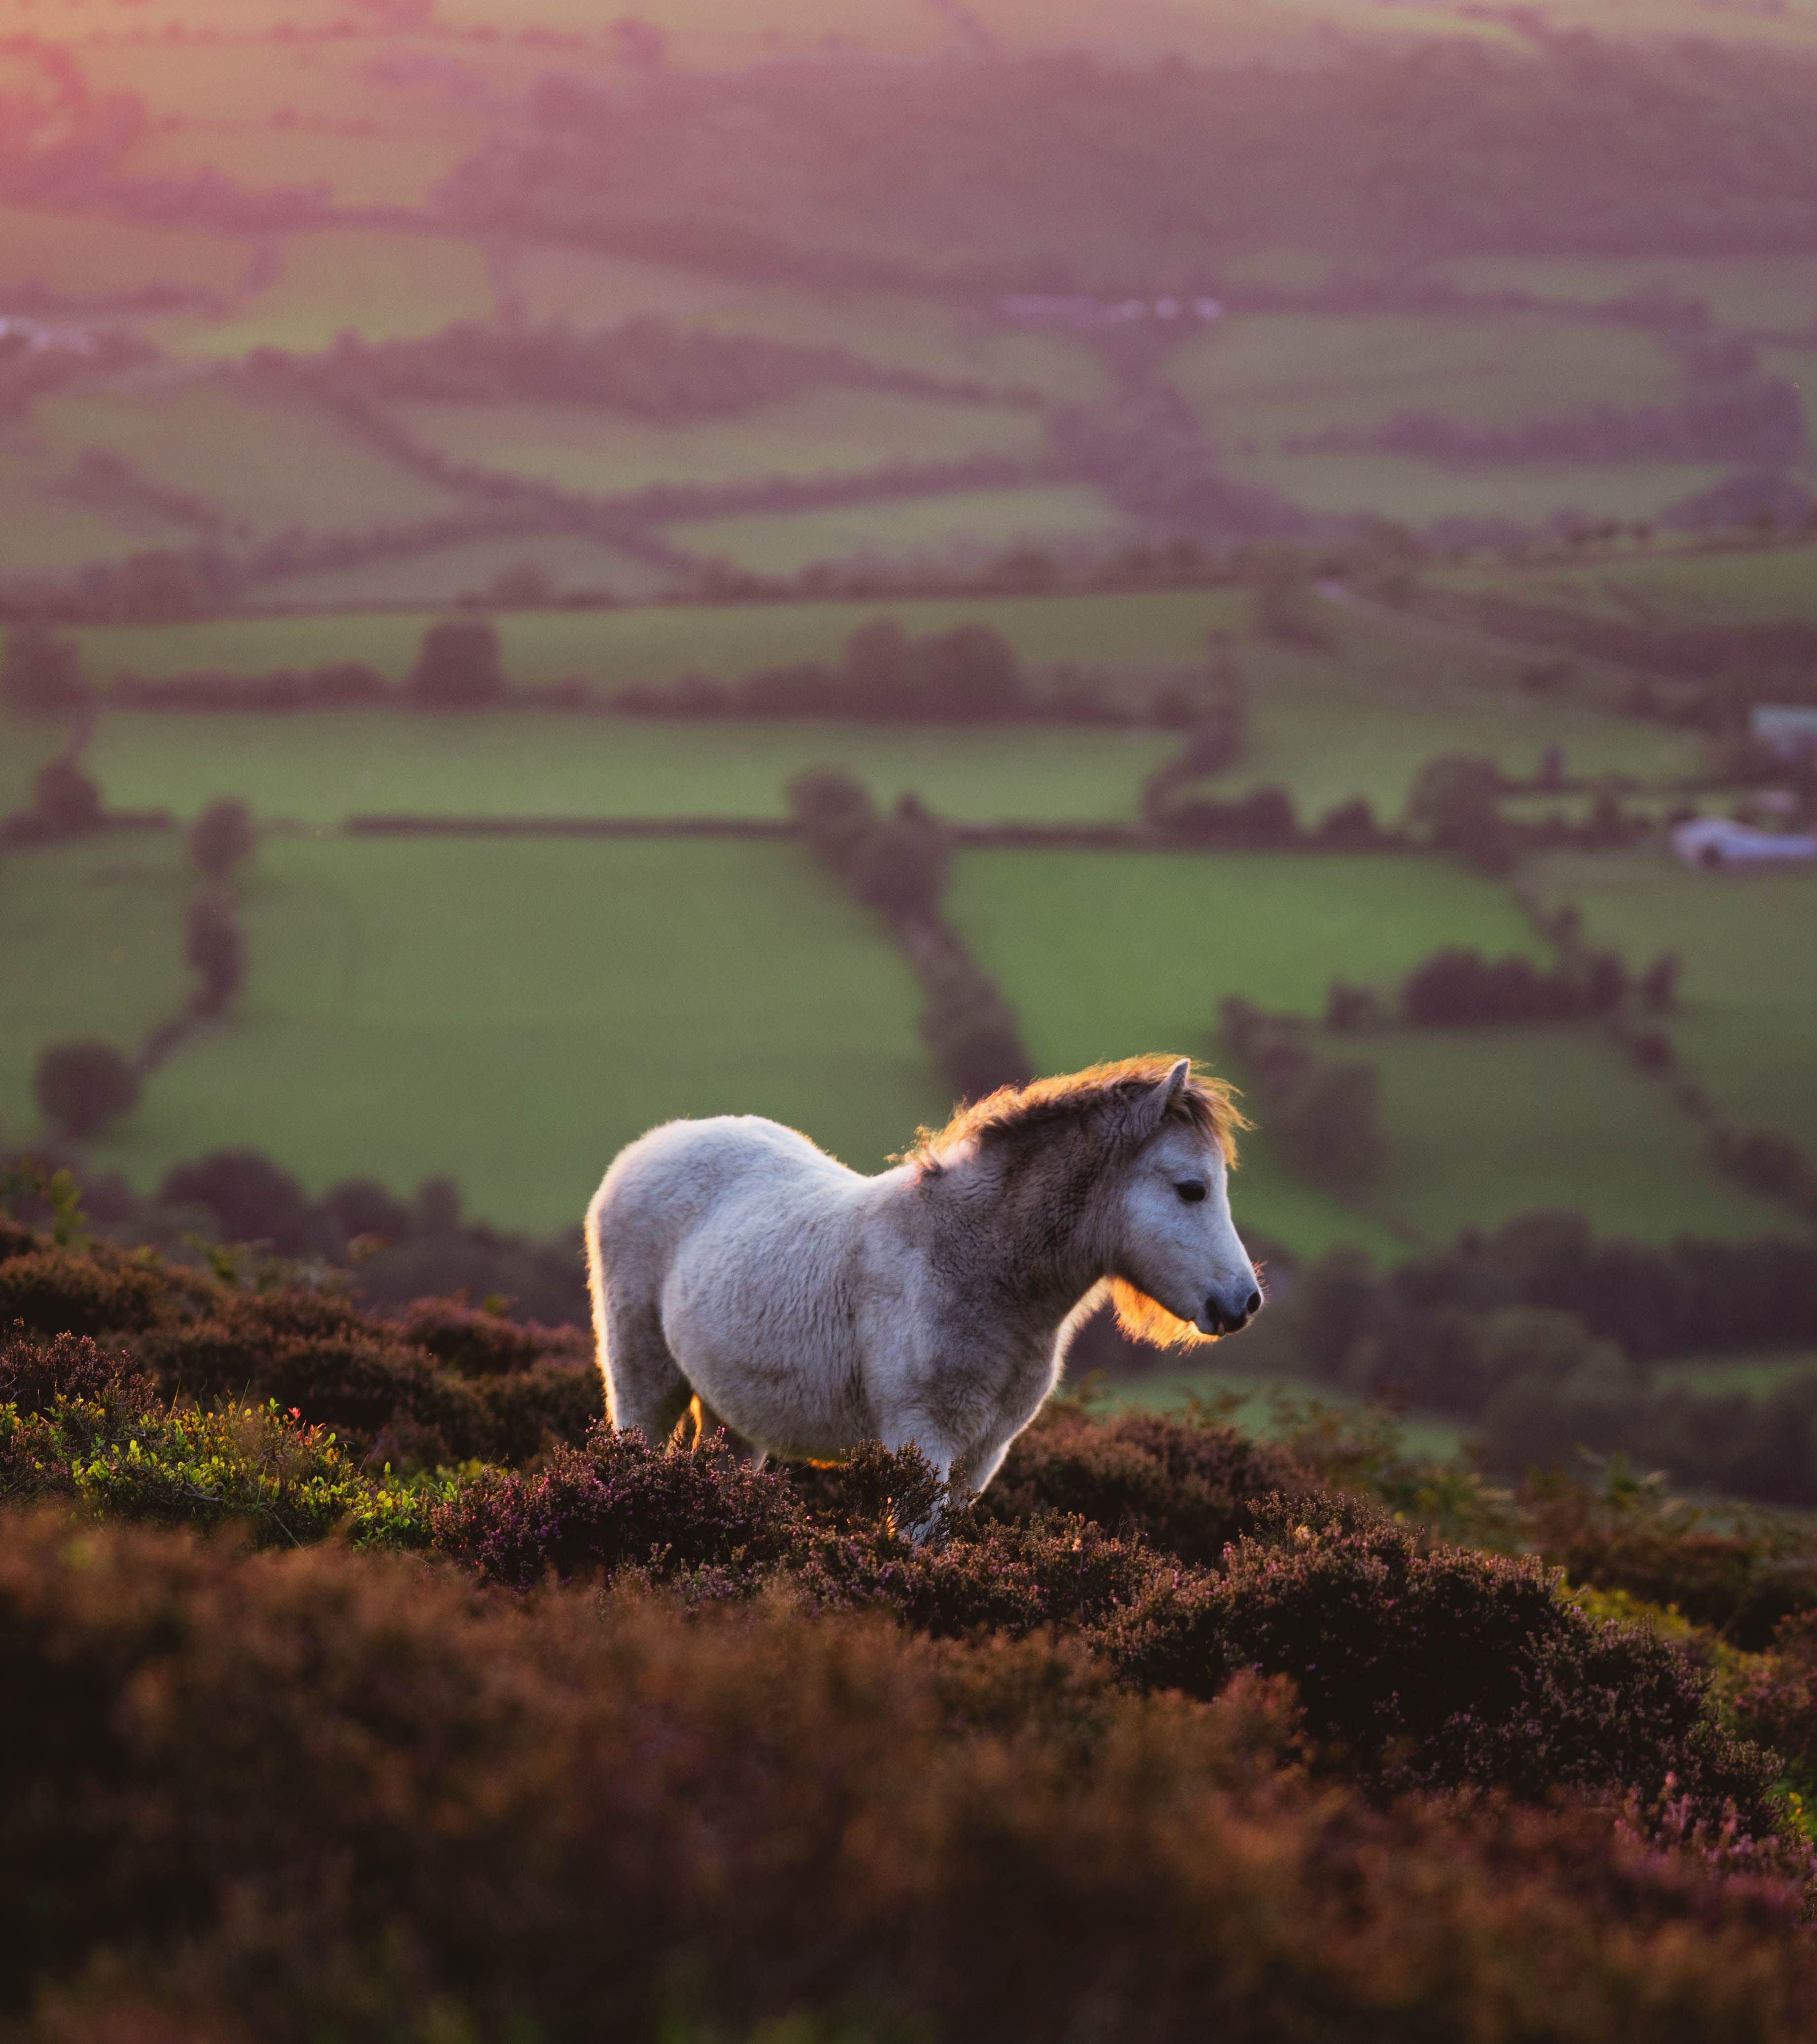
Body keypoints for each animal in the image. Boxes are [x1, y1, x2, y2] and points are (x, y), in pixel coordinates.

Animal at [584, 1054, 1261, 1529]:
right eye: (1191, 1189)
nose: (1243, 1302)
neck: (971, 1264)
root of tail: (651, 1146)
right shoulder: (924, 1443)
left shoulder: (979, 1459)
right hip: (642, 1384)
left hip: (734, 1421)